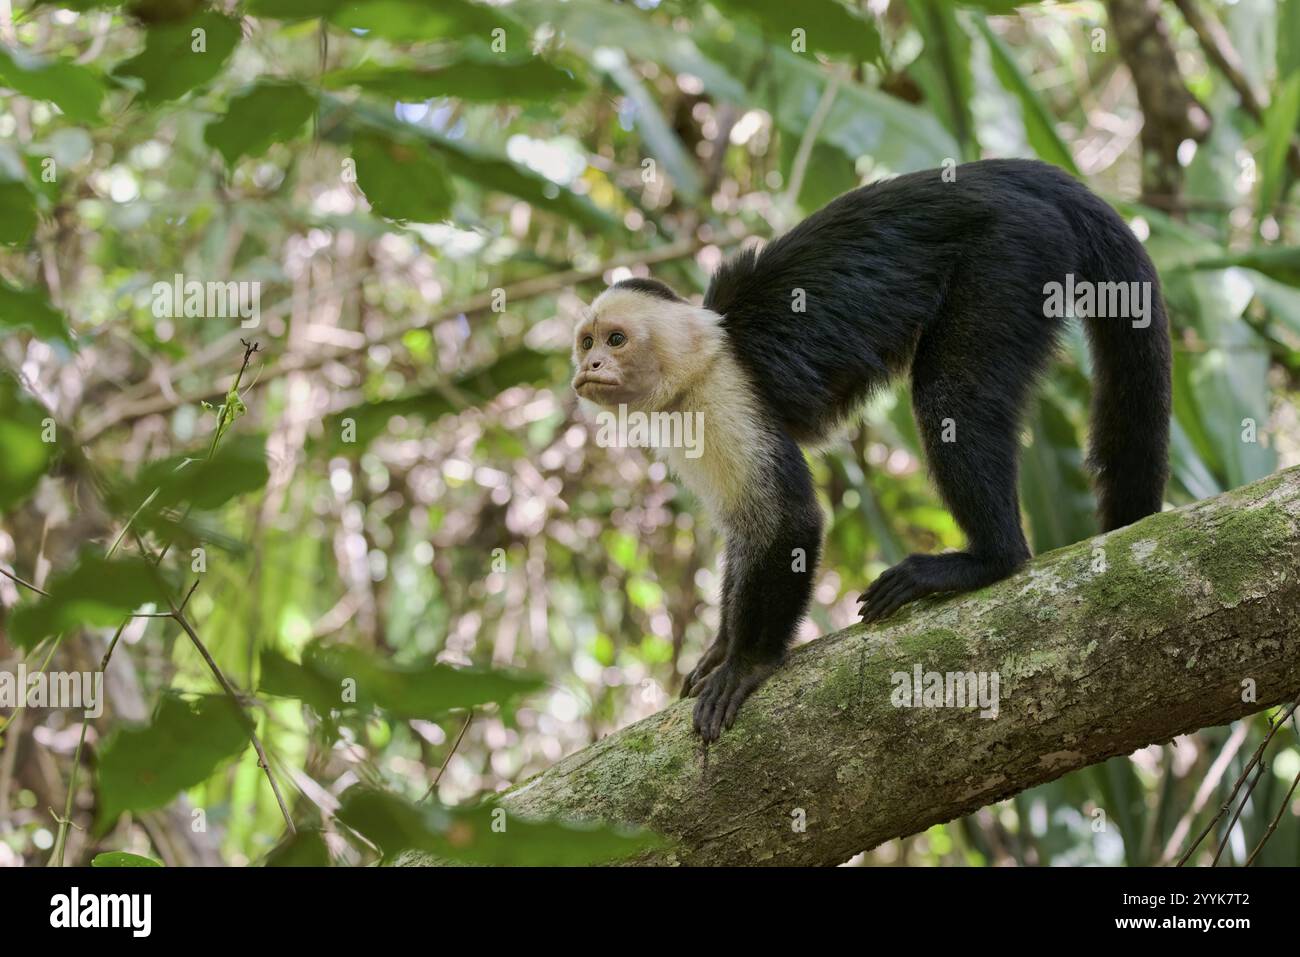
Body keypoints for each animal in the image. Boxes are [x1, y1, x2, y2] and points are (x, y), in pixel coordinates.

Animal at [571, 159, 1172, 742]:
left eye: (616, 340)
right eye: (587, 342)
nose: (589, 366)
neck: (703, 356)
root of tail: (997, 173)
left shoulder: (726, 394)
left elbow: (789, 521)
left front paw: (747, 663)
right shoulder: (683, 417)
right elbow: (748, 527)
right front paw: (722, 646)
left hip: (1011, 253)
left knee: (950, 397)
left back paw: (991, 558)